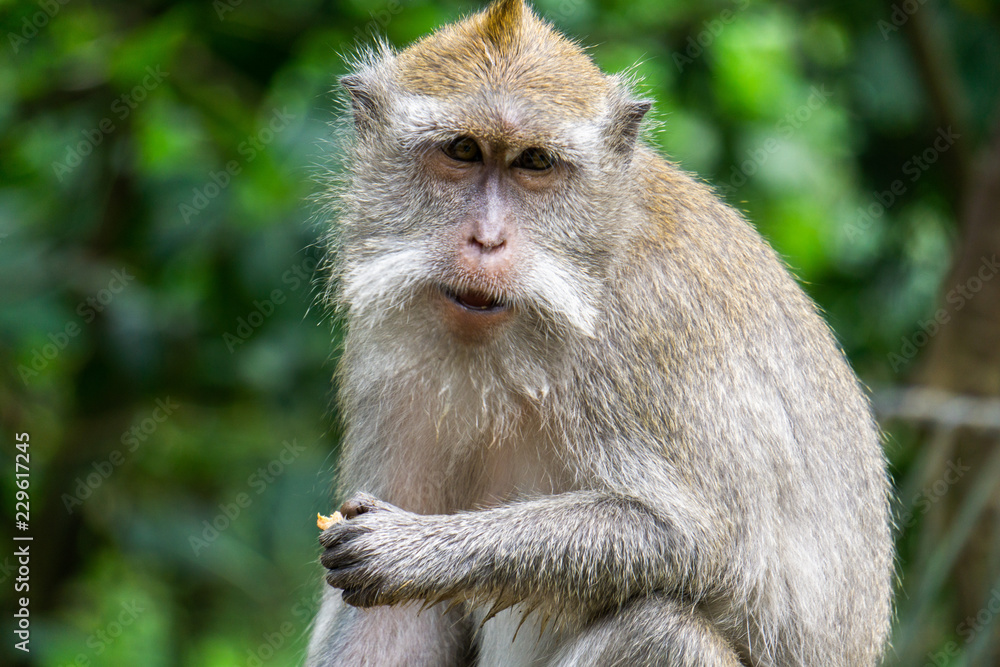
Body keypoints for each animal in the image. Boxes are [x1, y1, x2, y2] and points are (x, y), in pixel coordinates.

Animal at [306, 1, 893, 665]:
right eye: (462, 150)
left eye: (535, 162)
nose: (487, 240)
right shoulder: (391, 353)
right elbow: (391, 626)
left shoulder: (641, 334)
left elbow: (693, 541)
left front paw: (412, 550)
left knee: (662, 628)